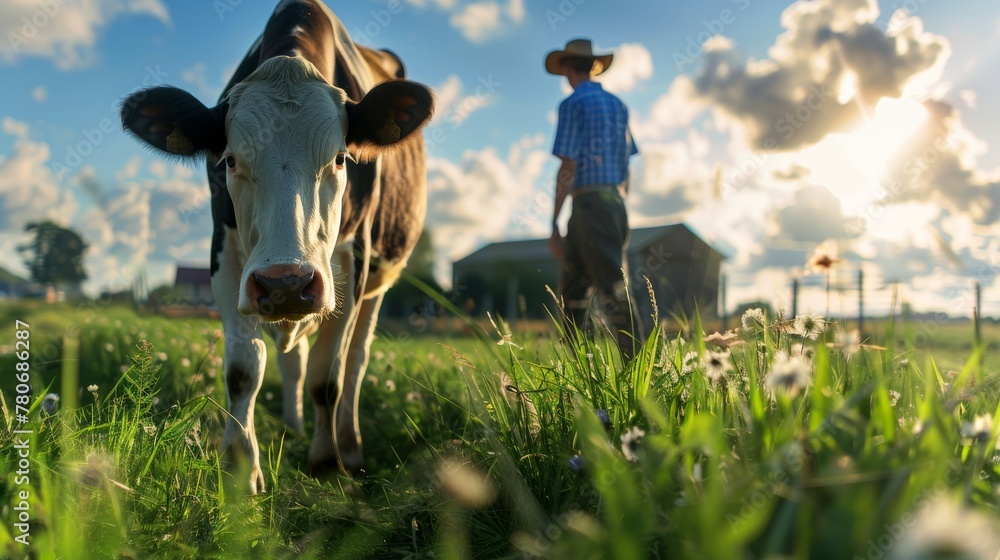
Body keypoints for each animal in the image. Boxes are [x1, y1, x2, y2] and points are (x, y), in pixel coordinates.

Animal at [120, 0, 433, 493]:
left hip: (376, 284)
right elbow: (244, 367)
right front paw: (239, 468)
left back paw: (350, 446)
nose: (286, 283)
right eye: (230, 160)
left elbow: (329, 374)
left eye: (340, 159)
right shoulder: (226, 253)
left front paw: (327, 461)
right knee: (294, 361)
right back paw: (292, 427)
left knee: (356, 361)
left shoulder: (354, 260)